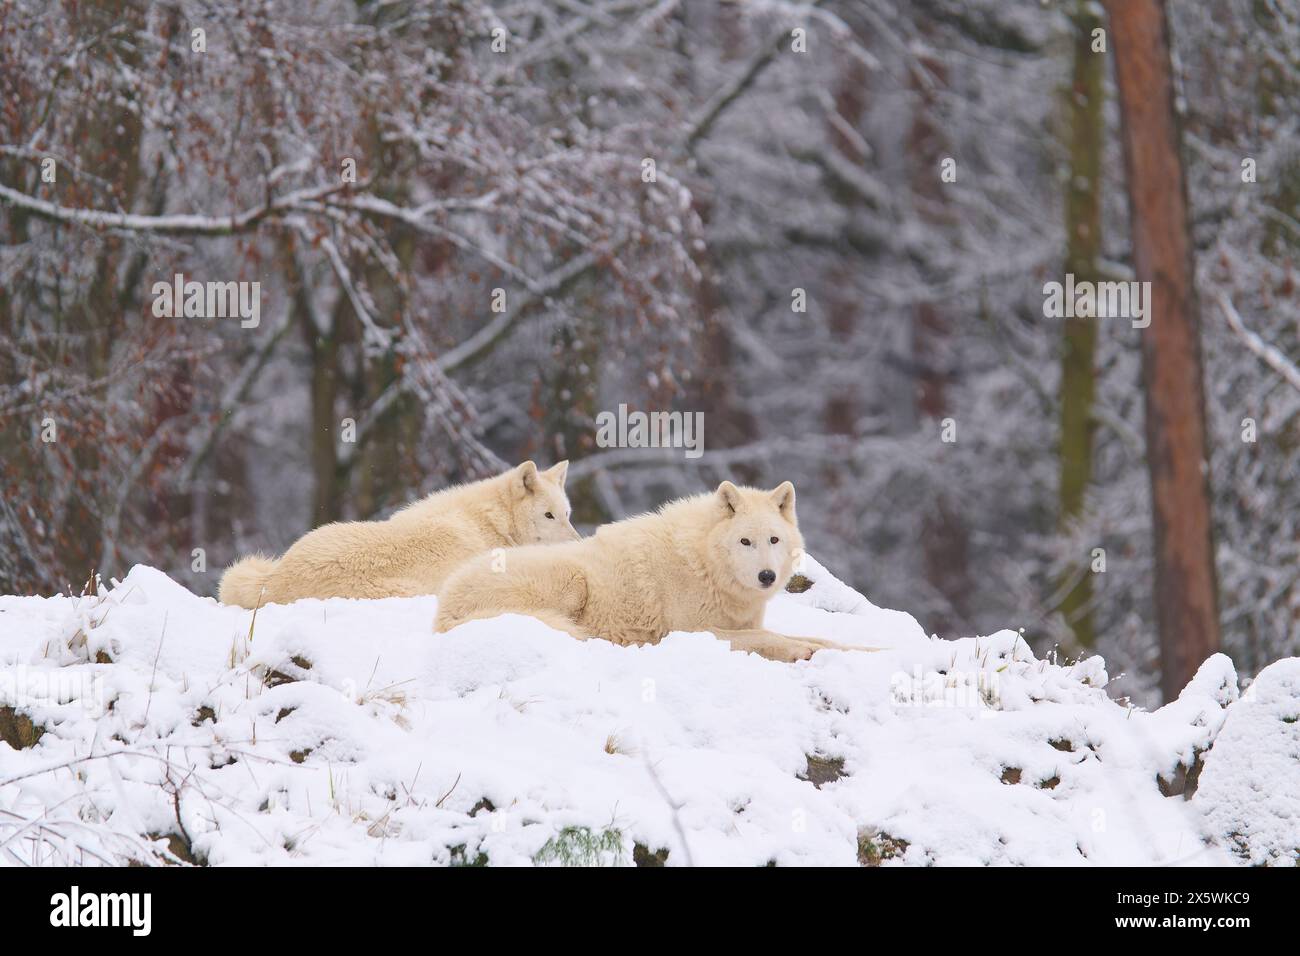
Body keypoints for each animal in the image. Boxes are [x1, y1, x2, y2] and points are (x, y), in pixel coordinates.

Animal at [435, 480, 854, 662]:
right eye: (745, 542)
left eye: (773, 540)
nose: (767, 576)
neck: (704, 565)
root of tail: (442, 610)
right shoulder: (695, 632)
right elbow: (769, 638)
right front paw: (800, 651)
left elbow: (824, 638)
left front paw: (854, 649)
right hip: (573, 581)